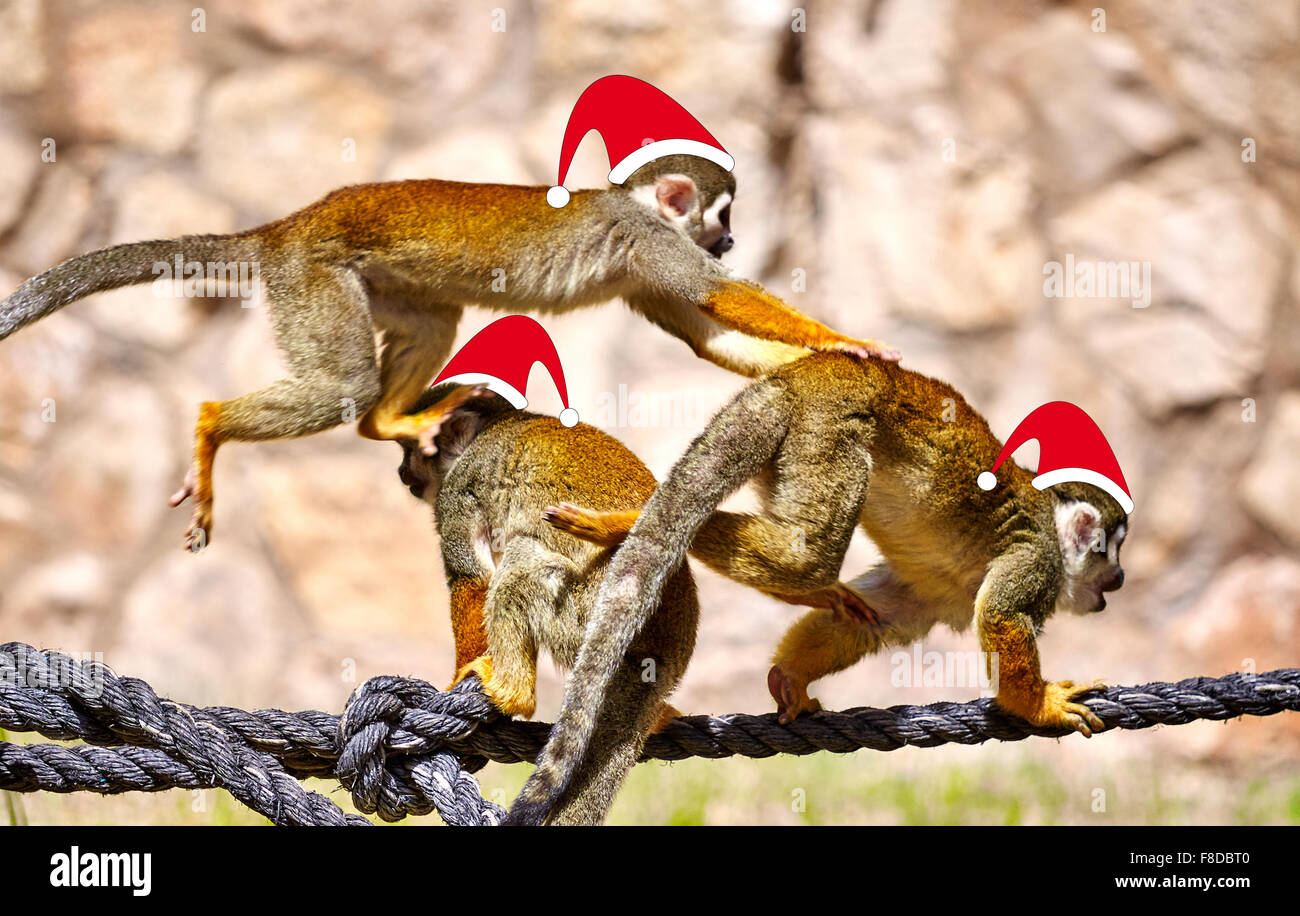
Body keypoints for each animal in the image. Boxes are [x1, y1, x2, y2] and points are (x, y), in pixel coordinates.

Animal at [0, 155, 898, 550]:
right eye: (721, 216)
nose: (733, 236)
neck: (638, 205)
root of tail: (283, 227)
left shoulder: (646, 258)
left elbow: (707, 331)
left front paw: (808, 359)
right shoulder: (647, 237)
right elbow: (714, 298)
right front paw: (845, 340)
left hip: (382, 279)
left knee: (418, 334)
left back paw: (387, 419)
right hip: (312, 274)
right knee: (339, 383)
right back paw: (215, 424)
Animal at [393, 381, 699, 825]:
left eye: (408, 449)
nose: (401, 472)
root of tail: (664, 654)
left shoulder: (460, 486)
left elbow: (471, 577)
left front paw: (457, 677)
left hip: (585, 617)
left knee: (521, 561)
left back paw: (512, 691)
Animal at [508, 351, 1129, 825]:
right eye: (1111, 548)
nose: (1119, 579)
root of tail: (813, 370)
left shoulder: (938, 591)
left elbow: (882, 618)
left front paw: (792, 676)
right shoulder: (1038, 557)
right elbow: (1002, 616)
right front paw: (1039, 705)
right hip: (831, 428)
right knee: (806, 556)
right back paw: (630, 523)